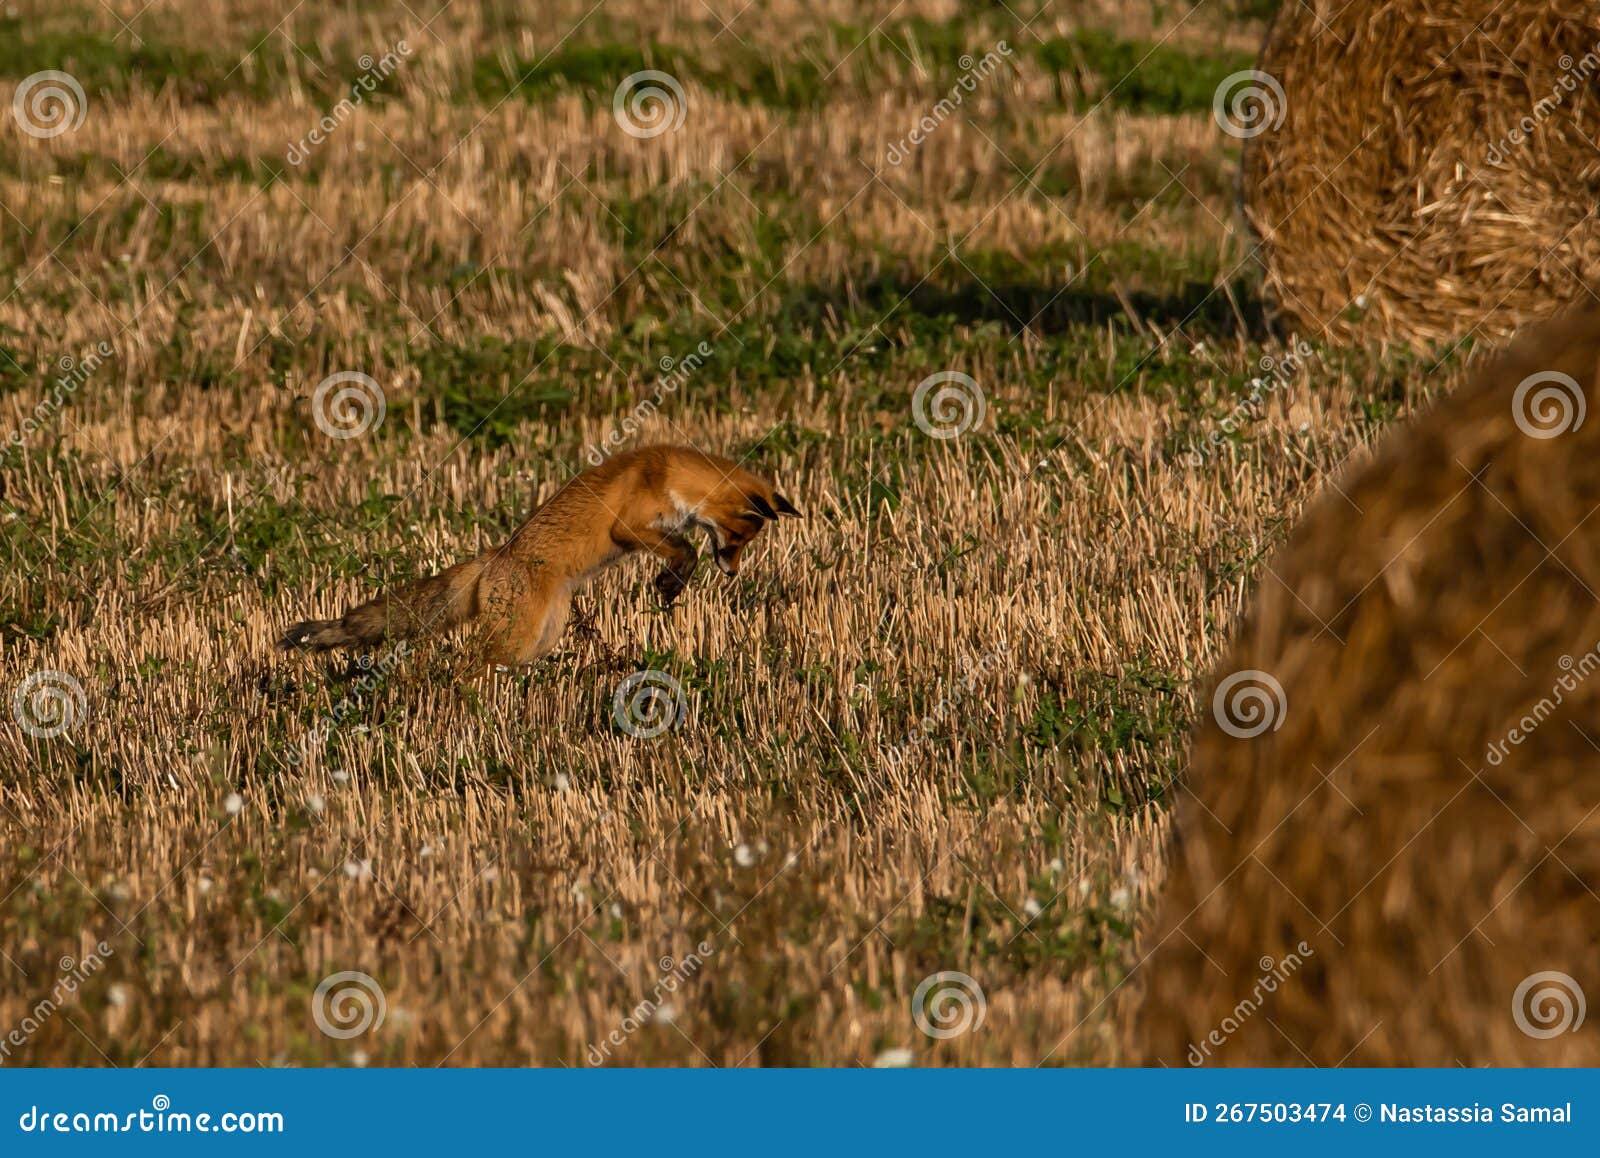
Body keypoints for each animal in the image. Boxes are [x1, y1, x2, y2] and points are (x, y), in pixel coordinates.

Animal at [278, 445, 800, 667]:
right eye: (739, 536)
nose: (730, 571)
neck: (672, 475)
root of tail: (494, 557)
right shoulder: (628, 526)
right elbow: (684, 547)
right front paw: (672, 581)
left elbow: (681, 549)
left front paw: (672, 585)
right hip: (517, 635)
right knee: (468, 664)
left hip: (543, 634)